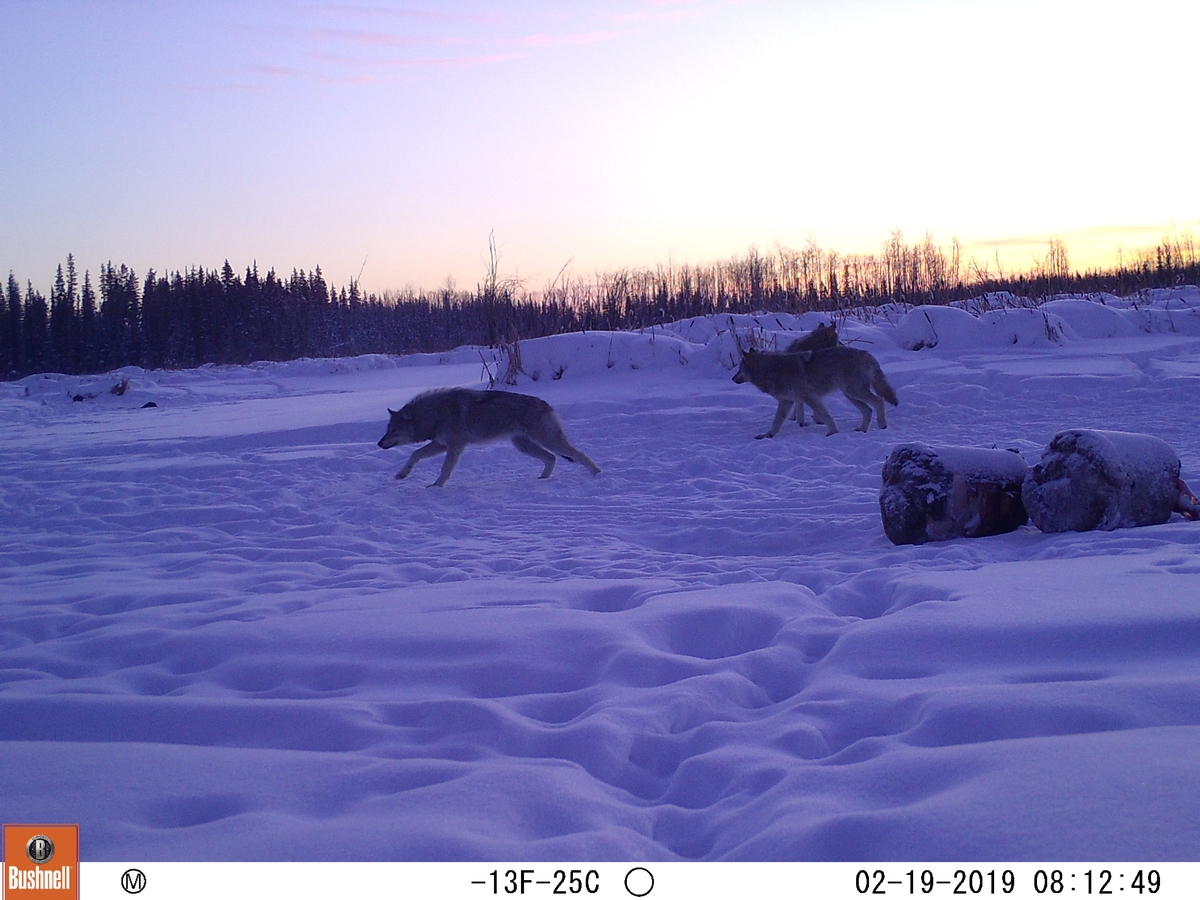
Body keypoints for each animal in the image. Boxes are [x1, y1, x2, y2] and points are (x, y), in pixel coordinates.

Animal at [377, 387, 601, 486]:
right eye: (387, 429)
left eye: (393, 431)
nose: (379, 443)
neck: (435, 413)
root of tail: (547, 404)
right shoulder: (441, 444)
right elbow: (415, 454)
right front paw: (402, 474)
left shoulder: (454, 446)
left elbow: (445, 469)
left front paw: (436, 486)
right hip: (523, 446)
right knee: (551, 458)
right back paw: (541, 479)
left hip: (548, 441)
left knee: (578, 455)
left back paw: (597, 474)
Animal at [732, 346, 898, 438]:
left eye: (739, 369)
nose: (732, 378)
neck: (771, 371)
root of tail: (867, 354)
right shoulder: (787, 402)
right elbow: (776, 422)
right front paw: (768, 435)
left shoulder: (809, 397)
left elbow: (825, 415)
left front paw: (833, 432)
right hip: (850, 394)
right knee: (868, 410)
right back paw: (862, 429)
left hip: (854, 392)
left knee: (879, 401)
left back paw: (882, 425)